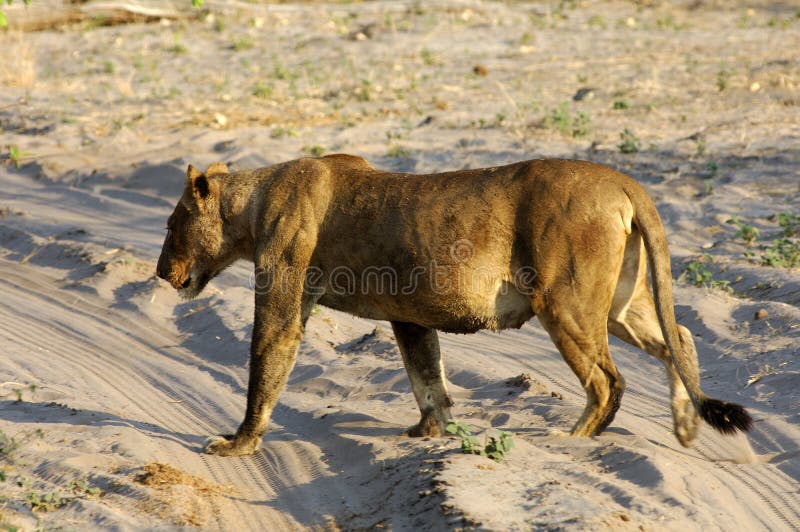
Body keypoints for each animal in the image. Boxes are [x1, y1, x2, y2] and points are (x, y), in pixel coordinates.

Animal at [156, 155, 751, 457]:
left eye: (170, 224)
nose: (160, 272)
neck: (251, 206)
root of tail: (624, 181)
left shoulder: (285, 294)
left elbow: (266, 363)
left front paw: (237, 443)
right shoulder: (408, 314)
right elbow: (427, 375)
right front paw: (431, 432)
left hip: (566, 301)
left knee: (607, 381)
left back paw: (571, 439)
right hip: (618, 306)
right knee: (681, 339)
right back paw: (685, 428)